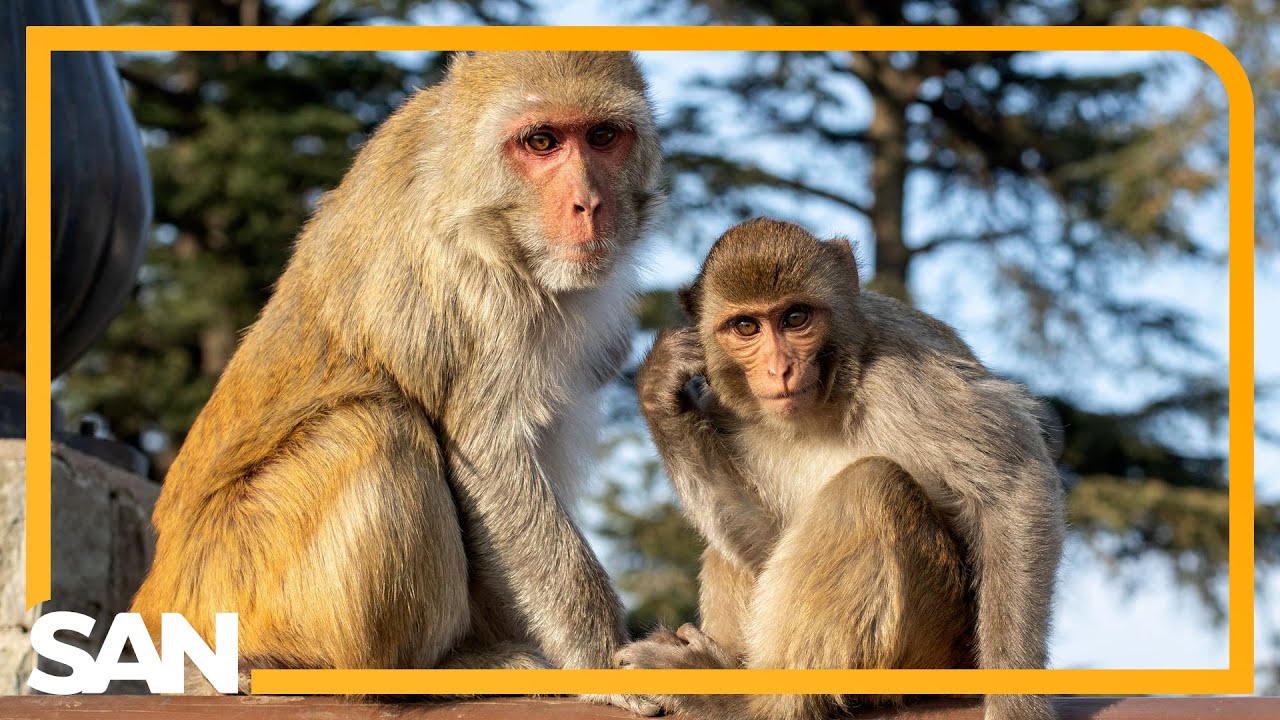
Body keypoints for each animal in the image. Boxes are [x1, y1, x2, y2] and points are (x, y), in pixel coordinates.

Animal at [127, 52, 664, 715]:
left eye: (603, 136)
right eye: (541, 142)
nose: (588, 204)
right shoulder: (473, 284)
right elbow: (491, 457)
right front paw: (604, 663)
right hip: (245, 591)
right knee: (376, 428)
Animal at [615, 218, 1065, 720]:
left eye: (795, 318)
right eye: (746, 326)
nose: (779, 368)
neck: (827, 401)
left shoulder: (909, 380)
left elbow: (1015, 484)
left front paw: (1016, 705)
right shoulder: (727, 411)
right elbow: (767, 542)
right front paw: (660, 393)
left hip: (935, 650)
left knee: (870, 486)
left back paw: (743, 701)